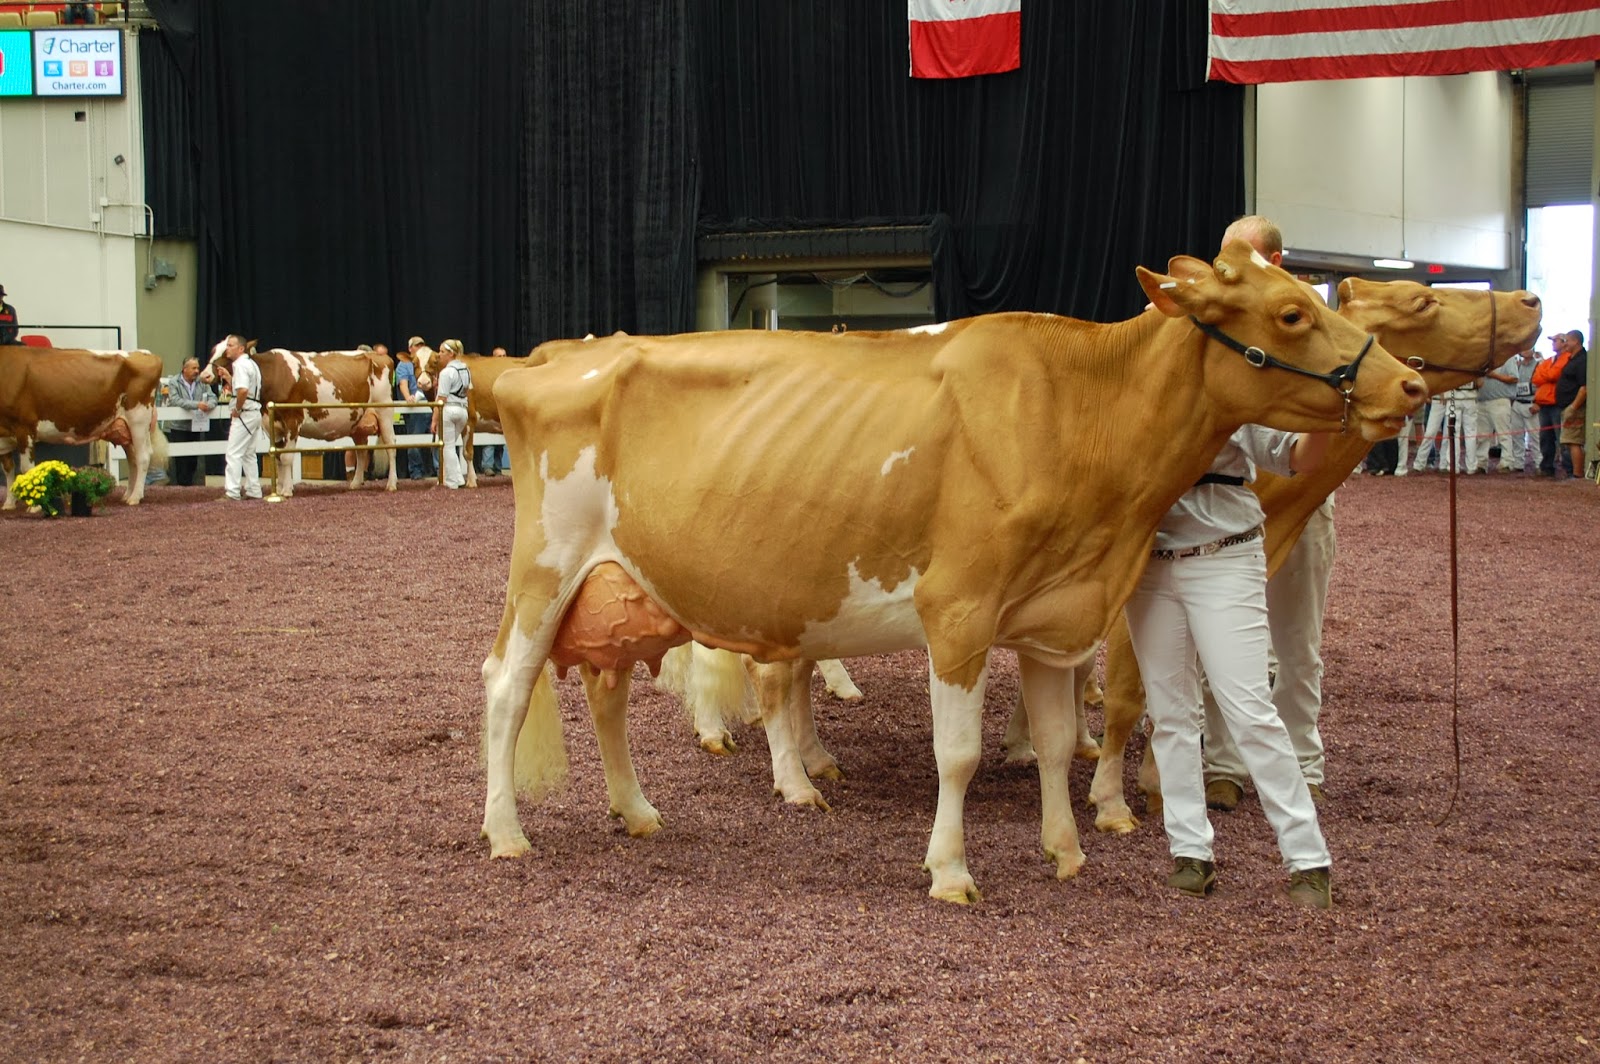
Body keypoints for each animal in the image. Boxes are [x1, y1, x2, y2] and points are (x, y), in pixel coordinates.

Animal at [1, 345, 166, 508]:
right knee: (132, 459)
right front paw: (9, 503)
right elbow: (8, 469)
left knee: (143, 457)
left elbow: (26, 469)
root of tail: (144, 353)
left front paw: (34, 506)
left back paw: (135, 497)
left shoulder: (25, 426)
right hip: (124, 427)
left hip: (138, 419)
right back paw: (128, 495)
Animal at [201, 341, 398, 497]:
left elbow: (287, 458)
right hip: (357, 421)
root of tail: (378, 355)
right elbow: (278, 458)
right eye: (213, 350)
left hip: (385, 411)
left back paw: (391, 484)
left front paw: (287, 491)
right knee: (361, 451)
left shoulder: (292, 421)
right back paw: (356, 483)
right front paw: (280, 489)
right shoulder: (273, 426)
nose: (205, 375)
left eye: (227, 353)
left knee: (391, 446)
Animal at [479, 242, 1426, 904]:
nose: (1410, 385)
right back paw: (506, 833)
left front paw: (1067, 850)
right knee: (507, 688)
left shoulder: (1051, 620)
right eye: (1292, 314)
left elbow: (1056, 741)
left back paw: (636, 811)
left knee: (604, 691)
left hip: (618, 586)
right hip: (544, 571)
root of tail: (554, 356)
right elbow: (960, 753)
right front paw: (950, 870)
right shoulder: (960, 609)